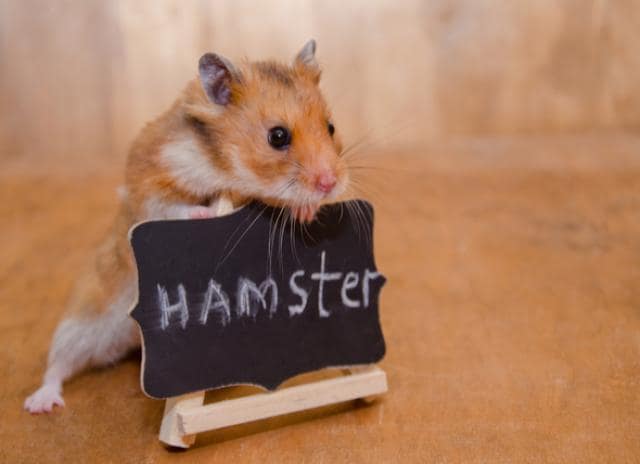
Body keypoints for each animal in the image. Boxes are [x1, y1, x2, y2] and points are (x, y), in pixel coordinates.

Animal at [24, 39, 349, 414]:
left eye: (331, 127)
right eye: (278, 136)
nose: (331, 184)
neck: (223, 165)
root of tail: (133, 339)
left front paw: (306, 212)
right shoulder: (151, 180)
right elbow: (170, 206)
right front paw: (205, 214)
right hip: (82, 323)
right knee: (58, 364)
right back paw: (41, 403)